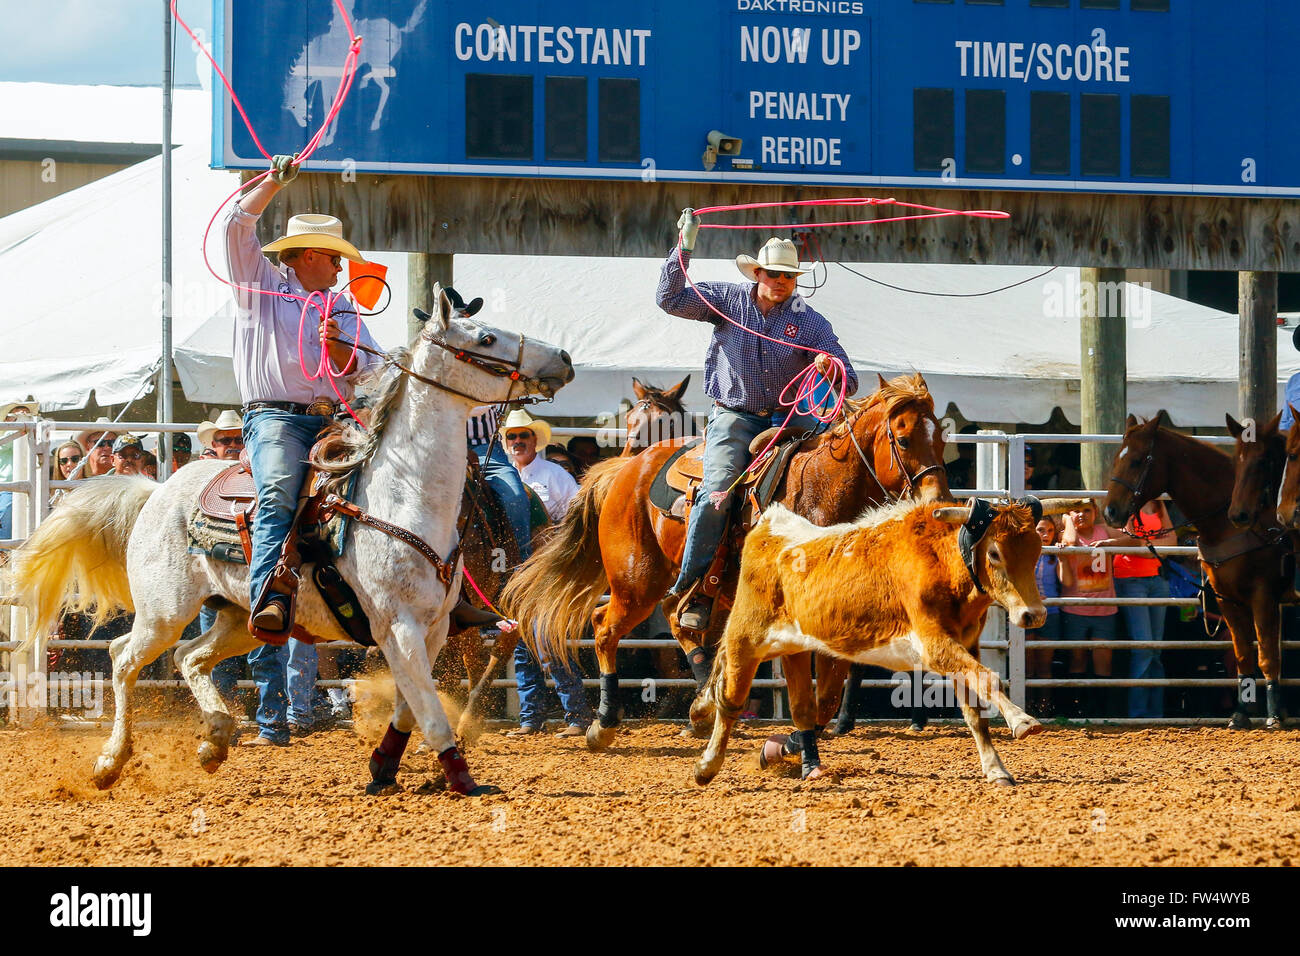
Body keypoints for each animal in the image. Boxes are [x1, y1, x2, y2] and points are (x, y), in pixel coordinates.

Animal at [690, 494, 1088, 788]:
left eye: (1036, 550)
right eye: (994, 553)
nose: (1033, 615)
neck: (943, 562)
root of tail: (767, 528)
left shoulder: (967, 644)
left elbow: (975, 709)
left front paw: (996, 769)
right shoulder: (935, 645)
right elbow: (988, 679)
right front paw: (1022, 720)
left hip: (794, 648)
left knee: (804, 708)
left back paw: (803, 765)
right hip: (745, 637)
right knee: (729, 702)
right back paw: (707, 765)